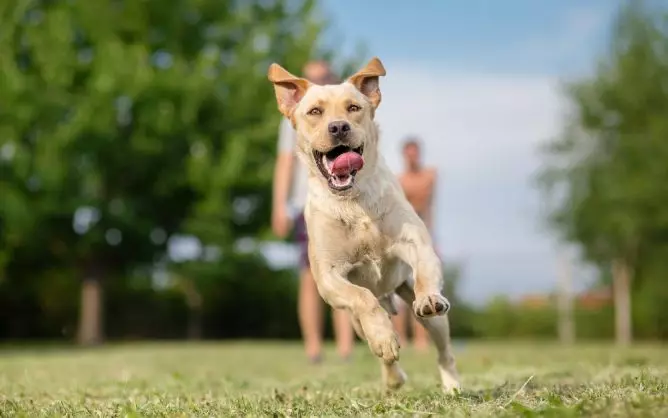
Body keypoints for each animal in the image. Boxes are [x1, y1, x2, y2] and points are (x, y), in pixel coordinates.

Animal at [266, 57, 460, 394]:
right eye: (315, 112)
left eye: (353, 107)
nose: (339, 127)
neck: (353, 201)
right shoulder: (329, 277)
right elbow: (362, 298)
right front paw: (384, 337)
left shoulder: (417, 245)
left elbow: (425, 272)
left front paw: (428, 296)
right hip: (354, 322)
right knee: (378, 342)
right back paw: (392, 375)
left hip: (431, 319)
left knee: (443, 350)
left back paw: (452, 385)